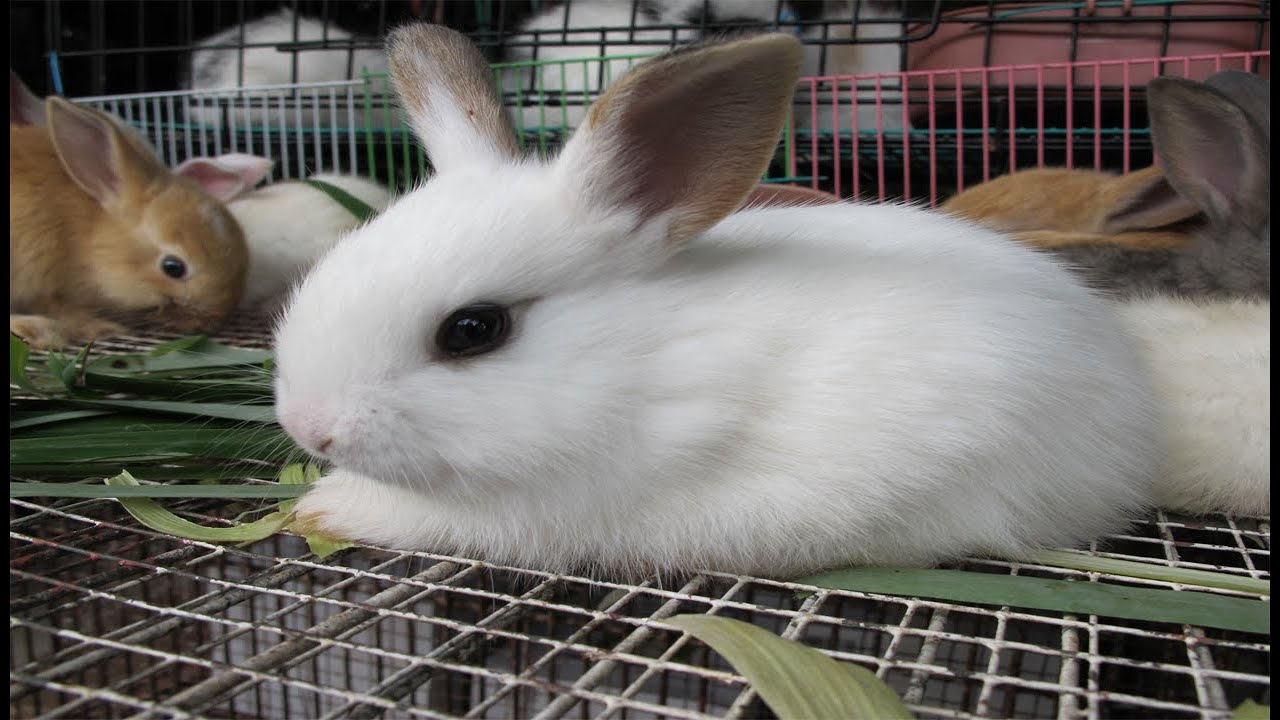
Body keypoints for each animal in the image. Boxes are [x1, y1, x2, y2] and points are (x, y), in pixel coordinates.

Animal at [271, 25, 1161, 579]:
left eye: (473, 330)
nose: (311, 428)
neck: (645, 359)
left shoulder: (548, 509)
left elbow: (433, 518)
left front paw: (326, 505)